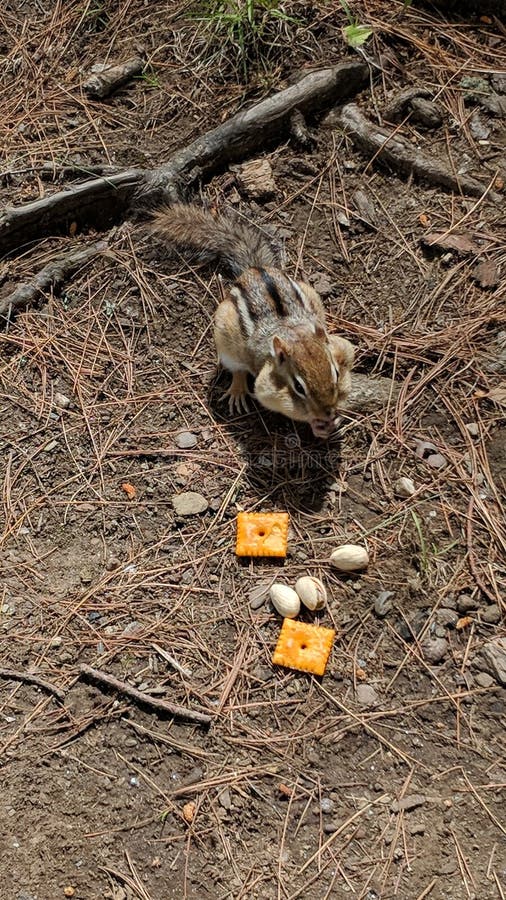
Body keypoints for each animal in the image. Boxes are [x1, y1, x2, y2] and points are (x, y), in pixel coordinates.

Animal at [151, 204, 355, 439]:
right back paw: (237, 390)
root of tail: (253, 269)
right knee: (237, 368)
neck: (291, 333)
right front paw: (316, 423)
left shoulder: (341, 348)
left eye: (336, 373)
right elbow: (278, 402)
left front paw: (337, 416)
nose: (327, 411)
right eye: (299, 387)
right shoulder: (268, 386)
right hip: (225, 339)